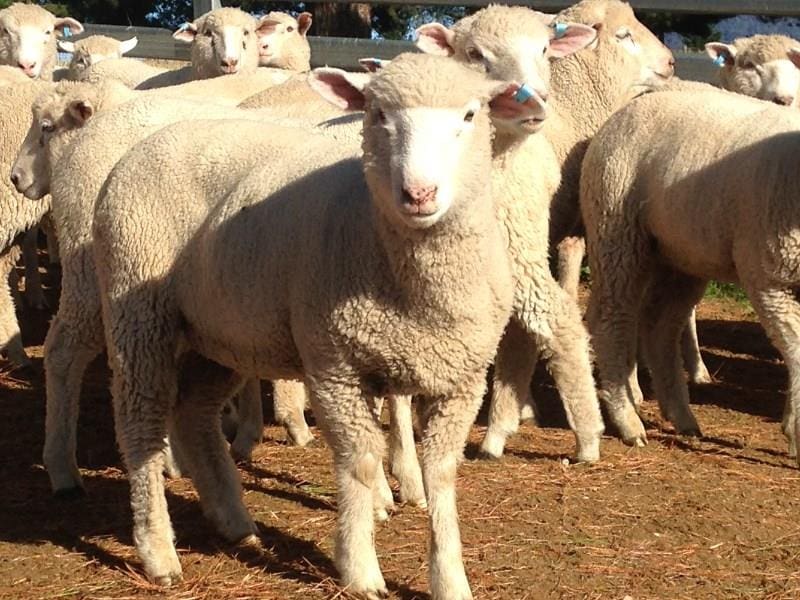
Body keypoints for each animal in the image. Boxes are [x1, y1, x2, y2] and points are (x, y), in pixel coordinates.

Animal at [90, 53, 535, 597]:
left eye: (470, 116)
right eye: (378, 116)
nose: (419, 193)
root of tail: (143, 147)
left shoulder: (463, 377)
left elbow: (443, 473)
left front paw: (450, 579)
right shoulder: (334, 365)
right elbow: (360, 461)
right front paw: (360, 567)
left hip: (219, 333)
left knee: (195, 414)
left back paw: (233, 522)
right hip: (137, 307)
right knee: (141, 423)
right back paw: (158, 551)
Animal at [580, 83, 800, 456]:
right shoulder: (770, 278)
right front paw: (796, 431)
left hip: (681, 256)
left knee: (659, 326)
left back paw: (681, 417)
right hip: (616, 230)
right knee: (611, 321)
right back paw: (629, 422)